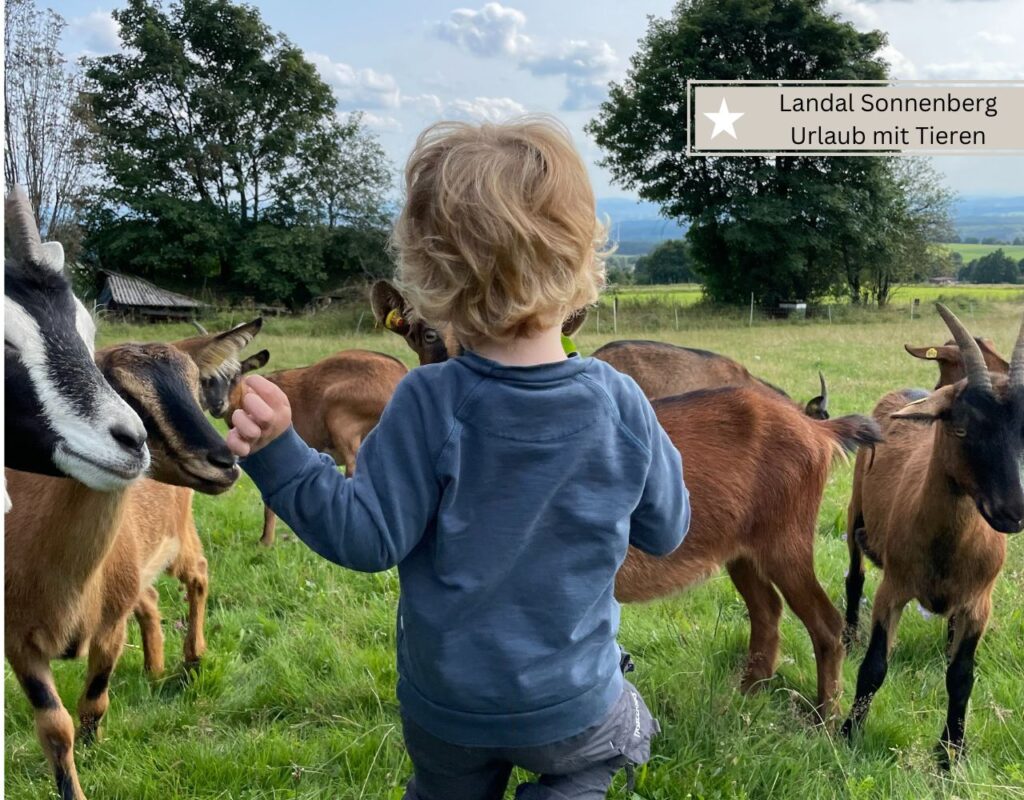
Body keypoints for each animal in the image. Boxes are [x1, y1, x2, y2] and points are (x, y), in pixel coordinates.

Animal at [5, 338, 239, 798]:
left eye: (197, 387)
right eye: (123, 393)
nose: (224, 461)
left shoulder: (110, 626)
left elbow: (93, 700)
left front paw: (93, 746)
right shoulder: (17, 641)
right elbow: (54, 727)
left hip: (181, 537)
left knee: (199, 574)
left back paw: (193, 659)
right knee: (151, 599)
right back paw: (155, 668)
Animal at [839, 303, 1024, 766]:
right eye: (961, 428)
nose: (1013, 512)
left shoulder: (979, 603)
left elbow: (961, 676)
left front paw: (951, 751)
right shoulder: (893, 589)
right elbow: (874, 667)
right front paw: (849, 732)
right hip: (854, 513)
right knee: (854, 578)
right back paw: (847, 638)